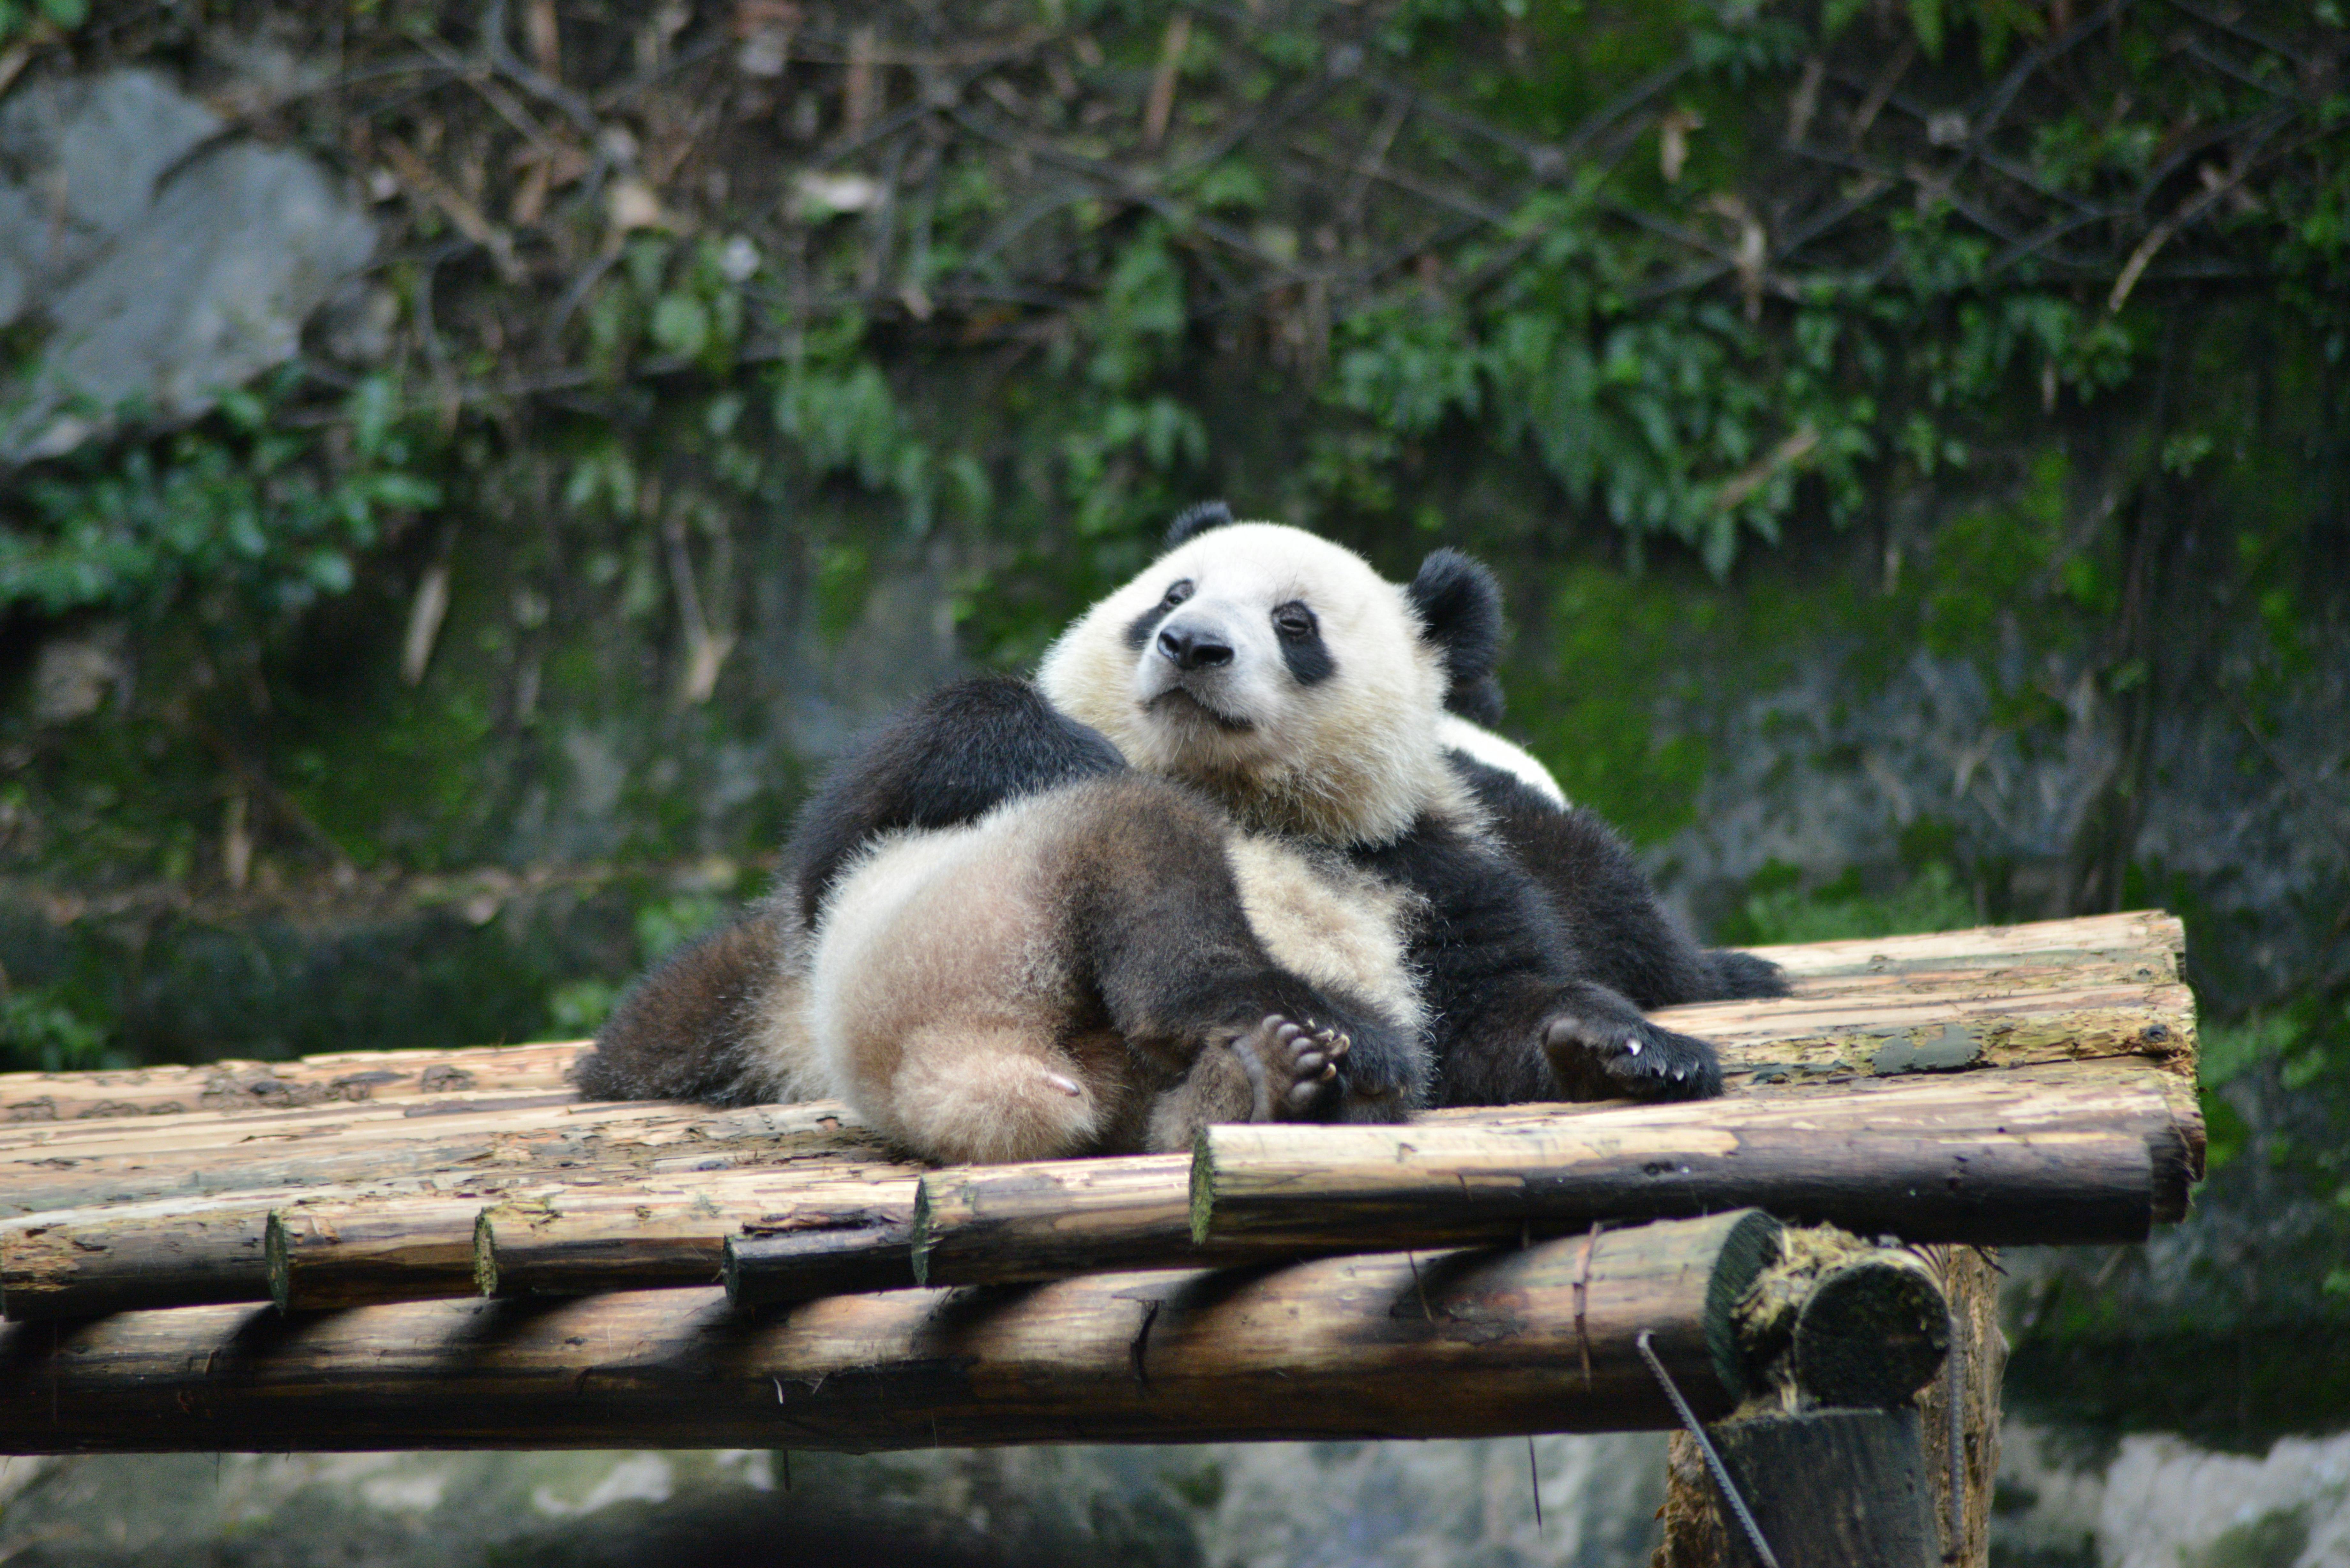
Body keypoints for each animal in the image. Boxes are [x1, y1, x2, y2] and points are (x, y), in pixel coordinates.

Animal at [1035, 507, 1784, 1108]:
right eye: (1174, 594)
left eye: (1294, 622)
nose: (1191, 643)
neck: (1242, 798)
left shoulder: (1419, 866)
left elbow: (1483, 1015)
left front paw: (1627, 1050)